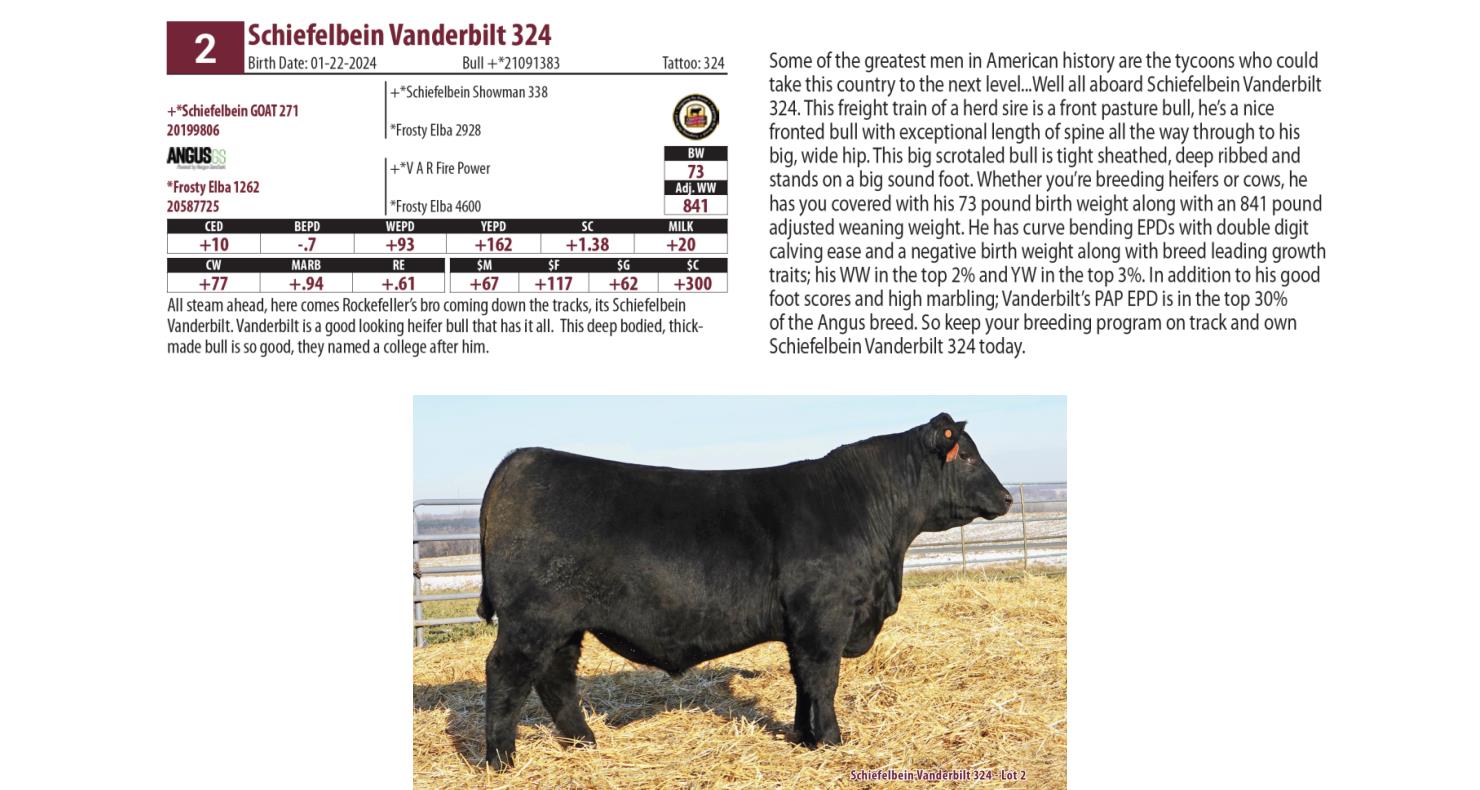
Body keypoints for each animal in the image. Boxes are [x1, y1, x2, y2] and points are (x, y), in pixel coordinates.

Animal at [475, 412, 1014, 769]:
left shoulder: (801, 626)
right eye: (967, 455)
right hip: (532, 618)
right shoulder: (825, 618)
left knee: (555, 678)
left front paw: (804, 737)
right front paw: (833, 741)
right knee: (506, 672)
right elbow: (824, 681)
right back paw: (500, 760)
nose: (1008, 497)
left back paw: (584, 743)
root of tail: (518, 460)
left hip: (565, 625)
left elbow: (802, 682)